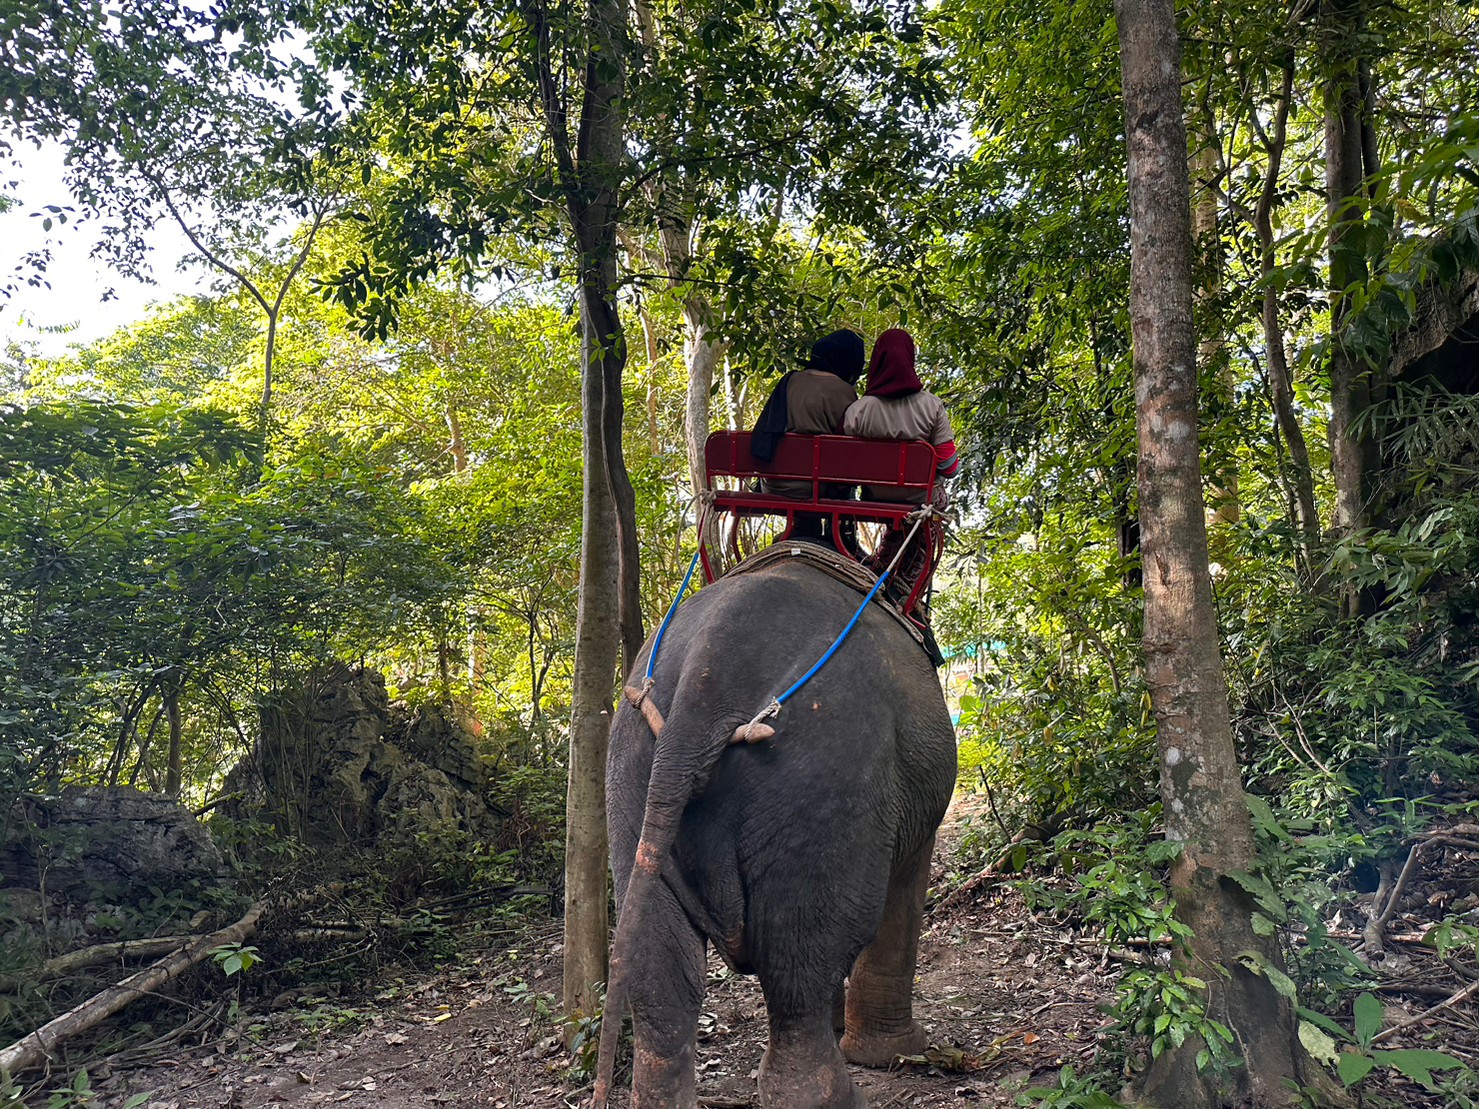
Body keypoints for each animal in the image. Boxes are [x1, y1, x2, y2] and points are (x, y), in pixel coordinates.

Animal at [591, 556, 958, 1109]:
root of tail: (705, 682)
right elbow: (906, 887)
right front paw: (895, 1053)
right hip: (823, 777)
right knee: (800, 964)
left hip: (629, 776)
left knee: (662, 974)